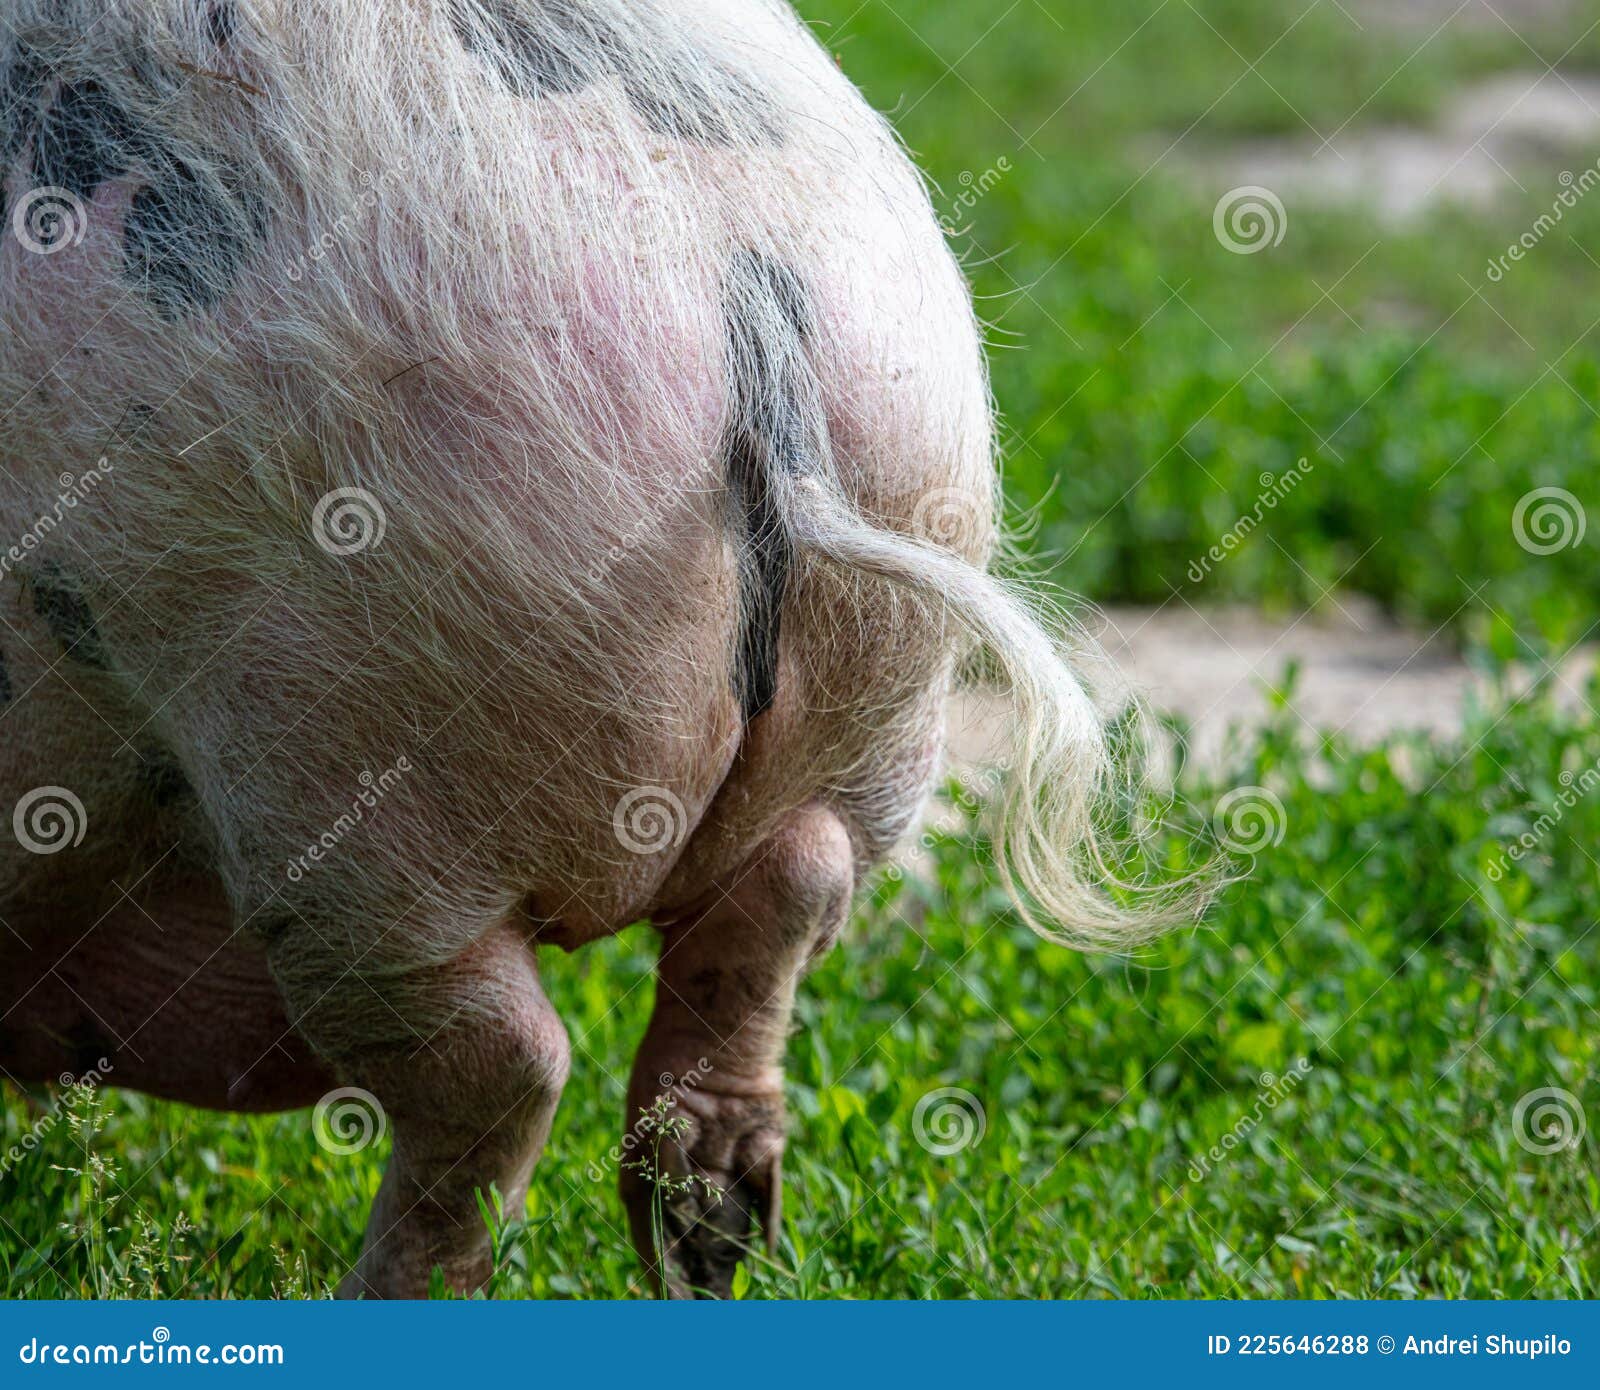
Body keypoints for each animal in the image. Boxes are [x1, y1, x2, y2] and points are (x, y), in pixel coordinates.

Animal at [0, 0, 1193, 1298]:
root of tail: (740, 280)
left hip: (348, 763)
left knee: (504, 1065)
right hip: (885, 662)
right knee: (785, 904)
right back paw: (715, 1256)